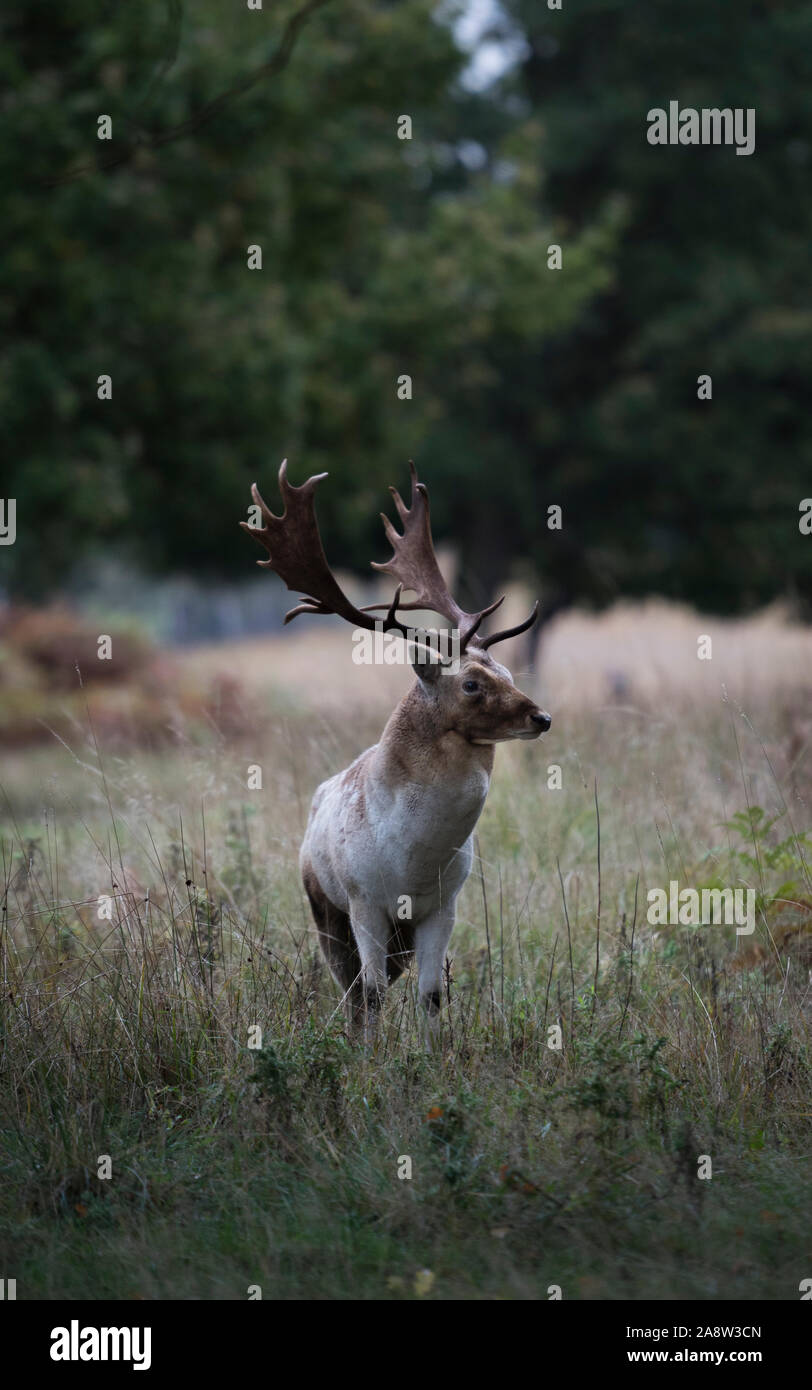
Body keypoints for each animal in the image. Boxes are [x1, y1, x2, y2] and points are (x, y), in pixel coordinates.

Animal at [241, 460, 551, 1043]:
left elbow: (431, 996)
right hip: (324, 908)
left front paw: (430, 1055)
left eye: (506, 671)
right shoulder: (366, 902)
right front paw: (371, 1058)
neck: (414, 859)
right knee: (352, 990)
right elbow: (373, 993)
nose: (541, 717)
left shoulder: (444, 906)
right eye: (471, 684)